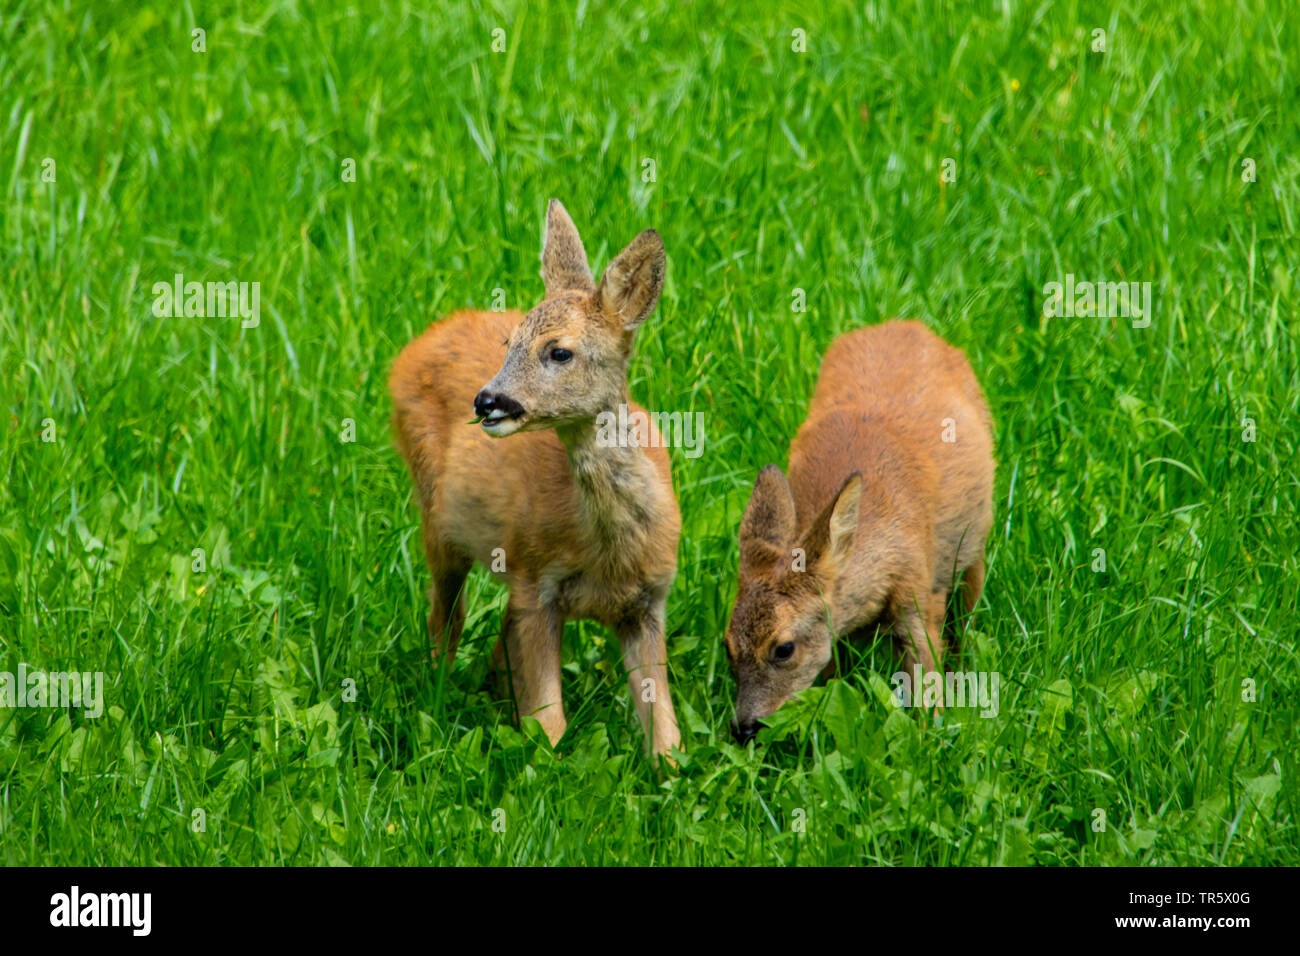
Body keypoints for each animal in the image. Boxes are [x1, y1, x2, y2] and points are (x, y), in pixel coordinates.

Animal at [388, 200, 682, 761]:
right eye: (510, 344)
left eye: (559, 352)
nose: (487, 402)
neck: (607, 552)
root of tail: (415, 346)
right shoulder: (534, 581)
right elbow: (551, 724)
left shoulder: (648, 602)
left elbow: (667, 734)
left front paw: (671, 771)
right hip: (438, 523)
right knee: (446, 620)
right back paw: (437, 700)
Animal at [723, 320, 995, 743]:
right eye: (727, 647)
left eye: (783, 648)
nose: (745, 726)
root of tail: (907, 324)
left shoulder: (919, 595)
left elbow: (927, 677)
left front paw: (930, 736)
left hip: (976, 535)